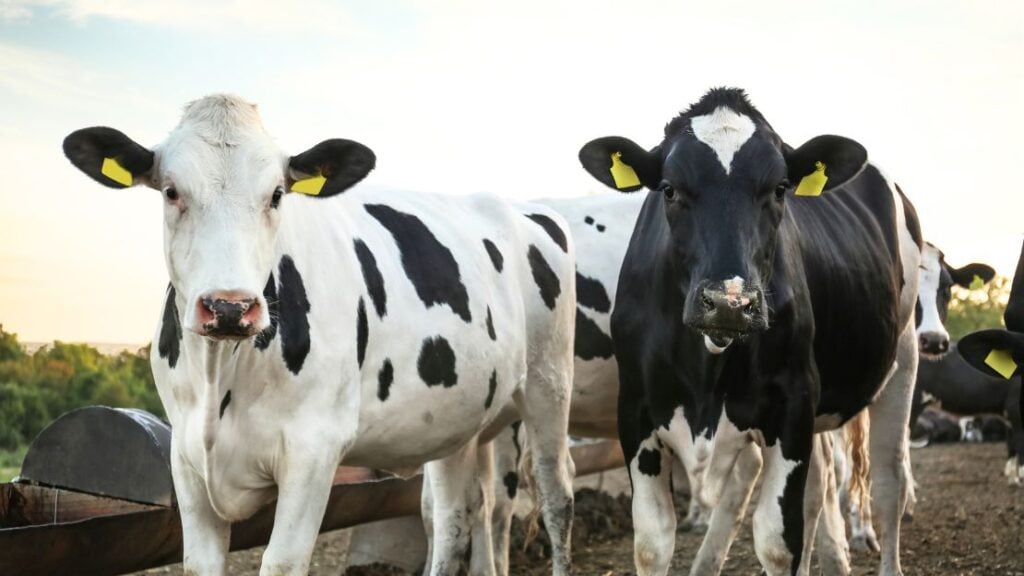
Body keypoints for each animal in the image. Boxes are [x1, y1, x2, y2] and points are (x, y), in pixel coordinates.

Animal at [61, 95, 577, 576]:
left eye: (276, 194)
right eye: (171, 191)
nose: (230, 306)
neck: (219, 376)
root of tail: (524, 208)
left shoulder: (315, 449)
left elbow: (283, 561)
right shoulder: (186, 457)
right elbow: (199, 563)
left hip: (549, 384)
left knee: (557, 493)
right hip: (459, 418)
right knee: (458, 514)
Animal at [576, 87, 921, 576]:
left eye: (779, 188)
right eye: (669, 189)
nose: (729, 302)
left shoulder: (792, 403)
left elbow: (778, 541)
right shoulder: (636, 412)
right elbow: (651, 542)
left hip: (902, 357)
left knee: (889, 483)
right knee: (820, 487)